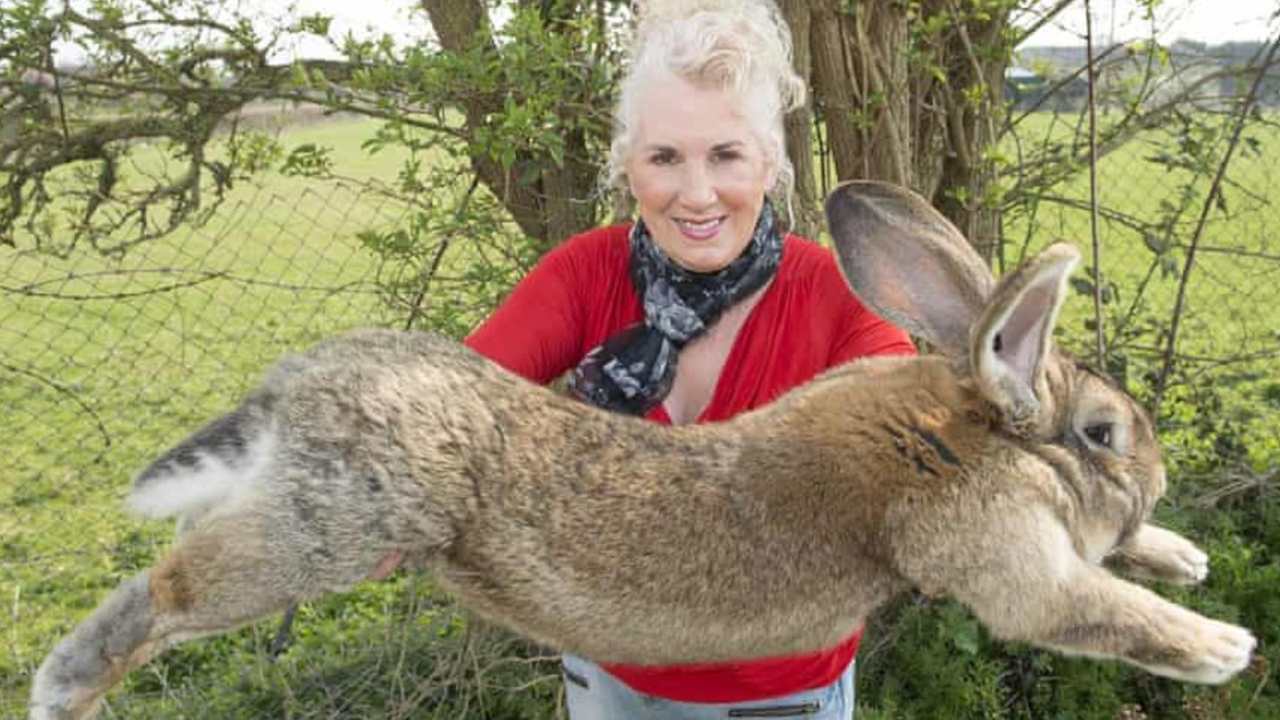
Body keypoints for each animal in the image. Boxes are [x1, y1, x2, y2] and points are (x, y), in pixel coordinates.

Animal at [30, 181, 1256, 720]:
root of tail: (296, 386)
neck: (962, 430)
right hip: (328, 532)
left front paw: (1183, 557)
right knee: (169, 589)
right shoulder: (999, 554)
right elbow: (1087, 609)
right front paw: (1220, 644)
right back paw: (63, 686)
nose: (1153, 478)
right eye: (1103, 435)